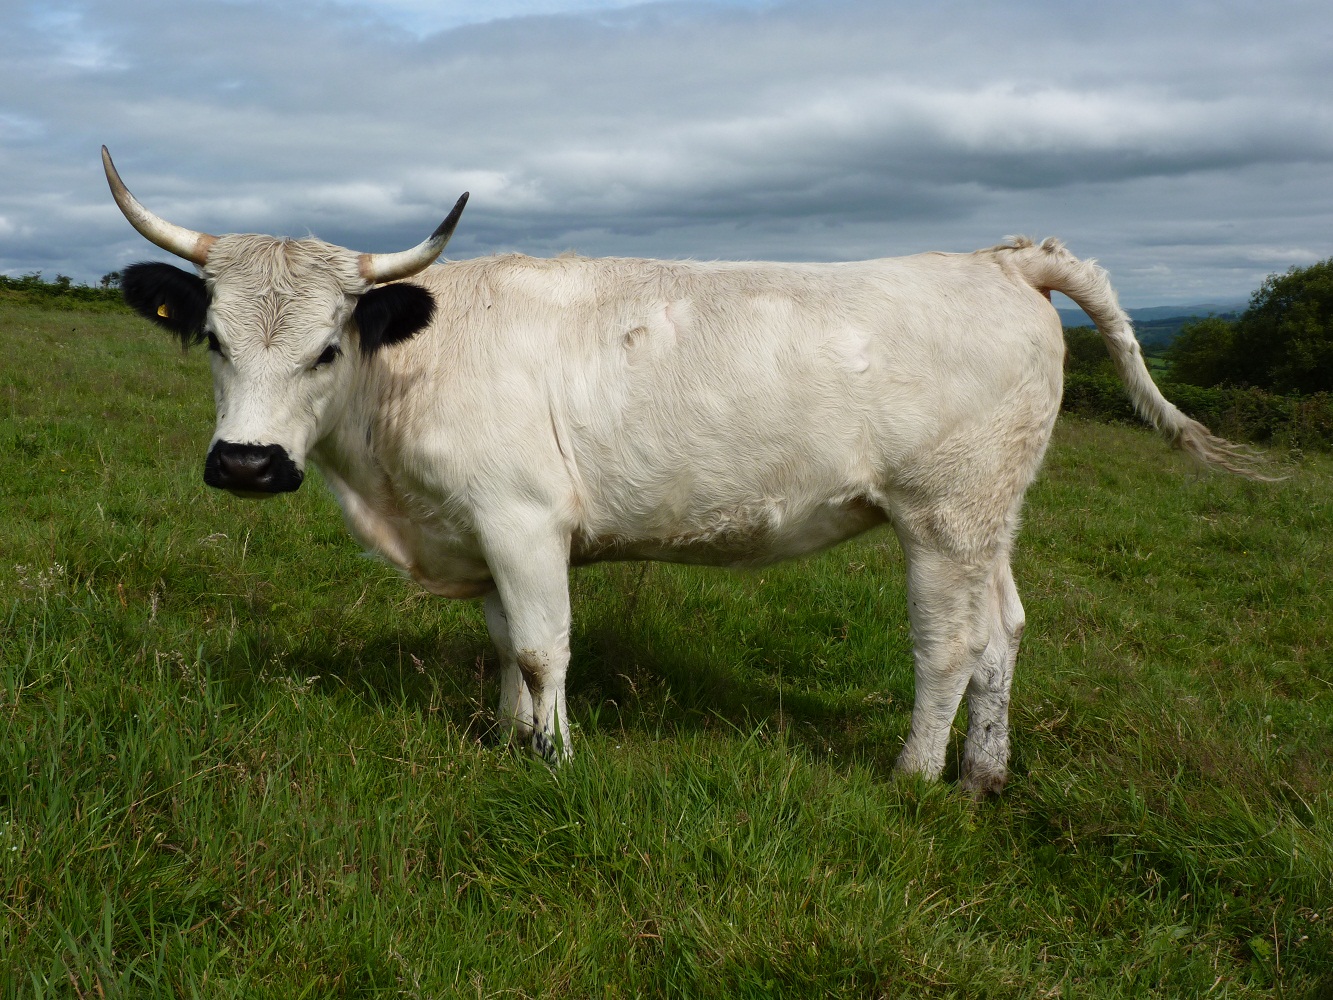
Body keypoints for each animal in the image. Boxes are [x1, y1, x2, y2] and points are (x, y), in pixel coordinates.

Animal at [102, 146, 1262, 793]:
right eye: (214, 340)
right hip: (990, 514)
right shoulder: (482, 535)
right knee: (1005, 630)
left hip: (941, 514)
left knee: (949, 644)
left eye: (325, 349)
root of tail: (999, 260)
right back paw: (984, 775)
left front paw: (554, 763)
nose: (246, 465)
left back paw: (913, 777)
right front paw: (507, 741)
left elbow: (542, 650)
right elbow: (503, 649)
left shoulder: (524, 521)